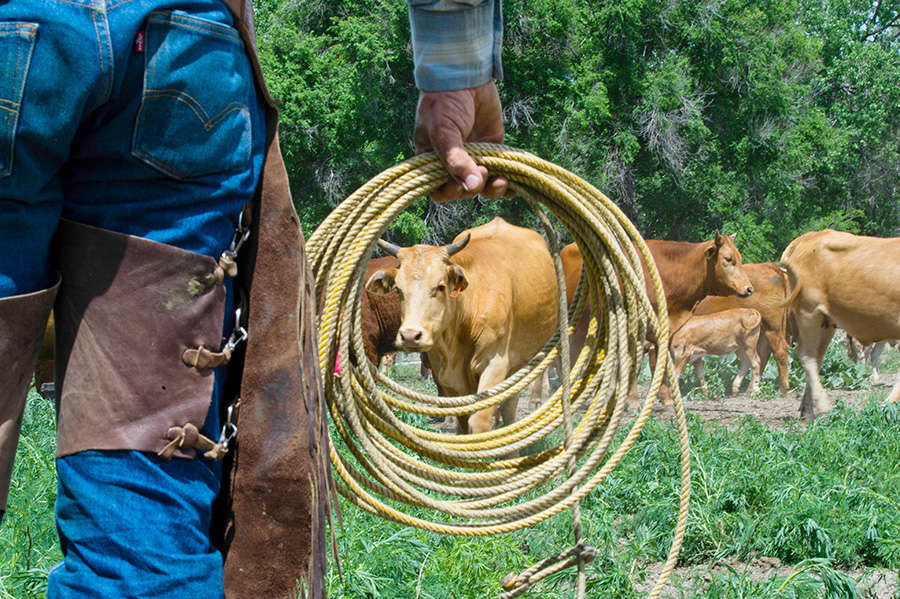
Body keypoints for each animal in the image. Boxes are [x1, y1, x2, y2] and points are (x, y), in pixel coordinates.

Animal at [365, 217, 558, 434]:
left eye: (440, 286)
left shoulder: (495, 364)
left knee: (510, 406)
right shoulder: (446, 373)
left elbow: (479, 421)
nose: (410, 336)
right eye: (398, 290)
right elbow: (463, 418)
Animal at [693, 262, 791, 394]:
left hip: (772, 325)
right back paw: (751, 389)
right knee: (762, 354)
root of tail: (768, 265)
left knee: (779, 351)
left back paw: (782, 389)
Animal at [780, 229, 900, 420]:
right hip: (809, 312)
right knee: (806, 355)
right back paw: (822, 405)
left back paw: (807, 410)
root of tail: (810, 236)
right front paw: (889, 407)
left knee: (817, 358)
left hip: (826, 322)